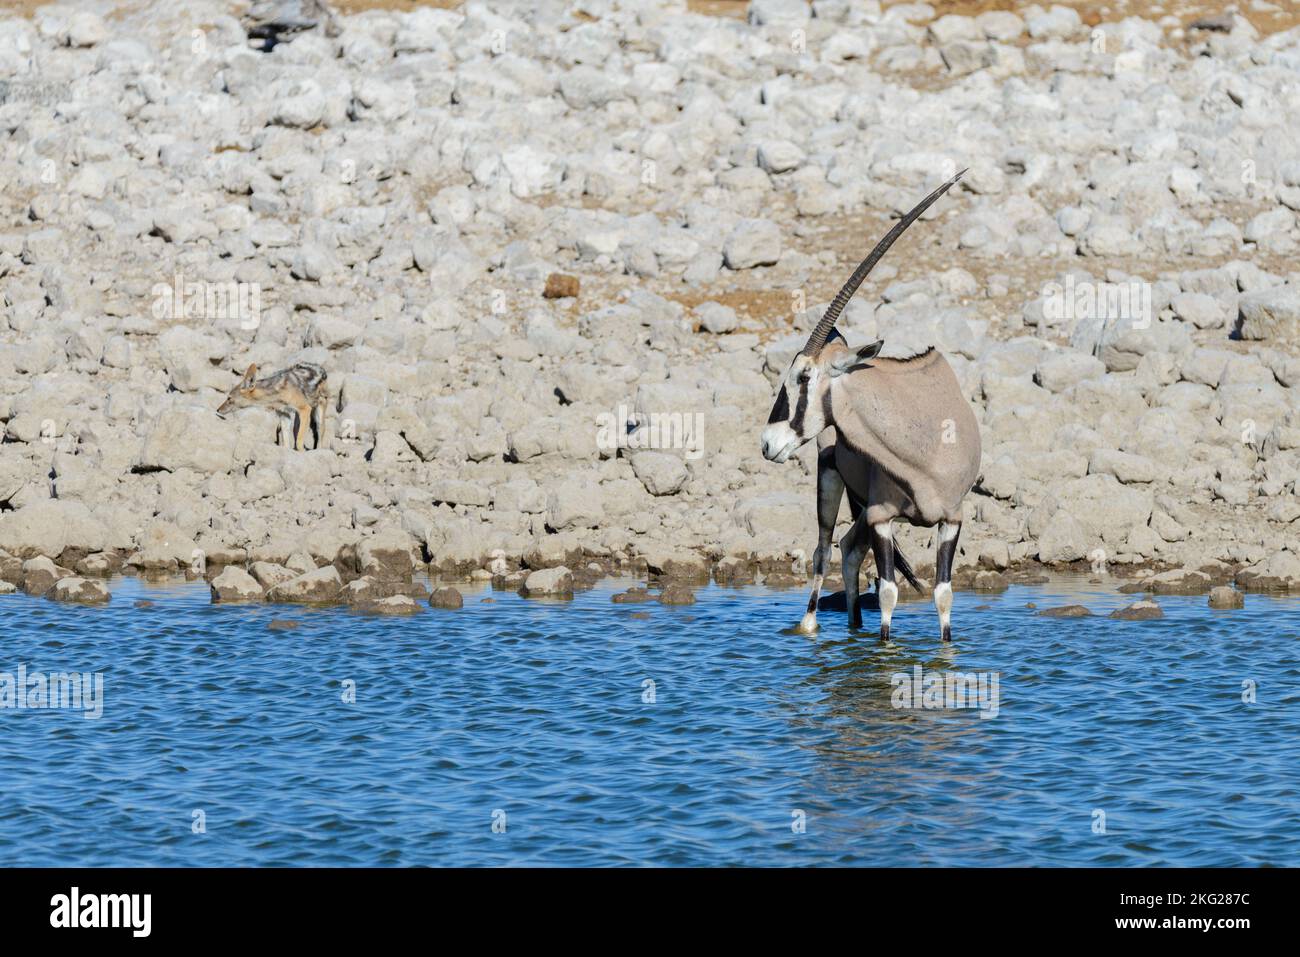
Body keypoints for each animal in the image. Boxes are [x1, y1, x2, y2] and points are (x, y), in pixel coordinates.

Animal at [761, 171, 981, 642]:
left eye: (803, 378)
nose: (767, 443)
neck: (923, 440)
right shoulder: (882, 516)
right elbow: (888, 593)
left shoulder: (951, 518)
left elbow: (943, 595)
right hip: (831, 482)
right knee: (825, 550)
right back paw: (811, 625)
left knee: (847, 549)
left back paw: (852, 628)